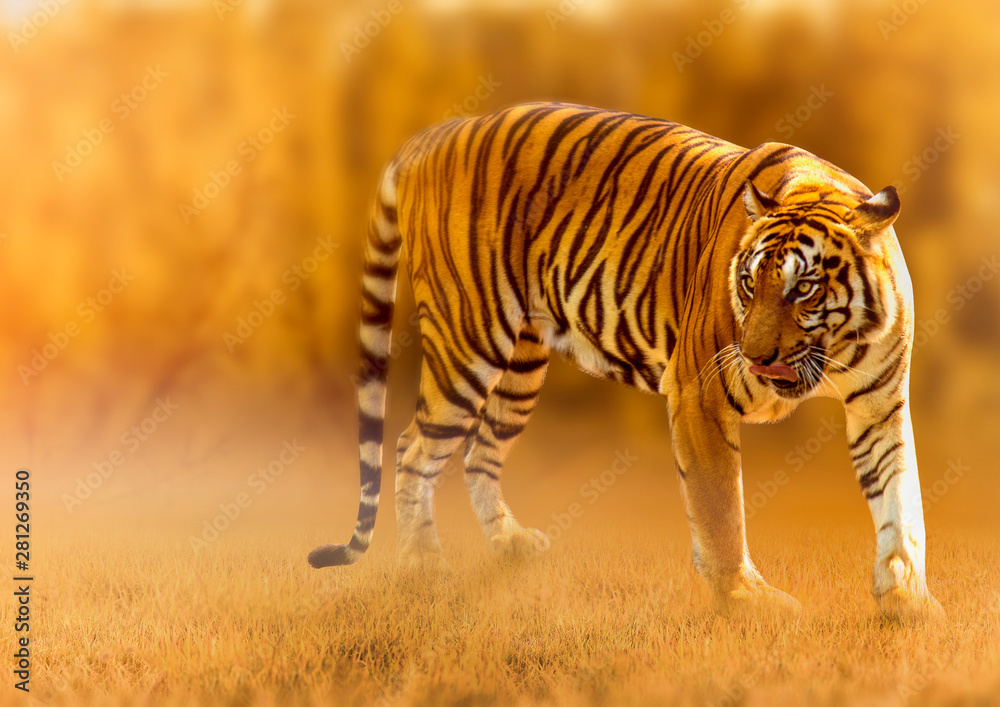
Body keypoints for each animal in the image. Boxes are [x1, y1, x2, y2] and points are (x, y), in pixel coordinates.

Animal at [309, 102, 942, 618]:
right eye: (748, 282)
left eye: (802, 289)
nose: (756, 357)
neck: (838, 349)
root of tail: (438, 133)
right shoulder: (698, 392)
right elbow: (720, 507)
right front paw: (744, 597)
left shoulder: (882, 407)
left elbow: (902, 502)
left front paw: (909, 600)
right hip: (469, 341)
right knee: (413, 447)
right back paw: (424, 568)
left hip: (520, 367)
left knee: (479, 450)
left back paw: (510, 544)